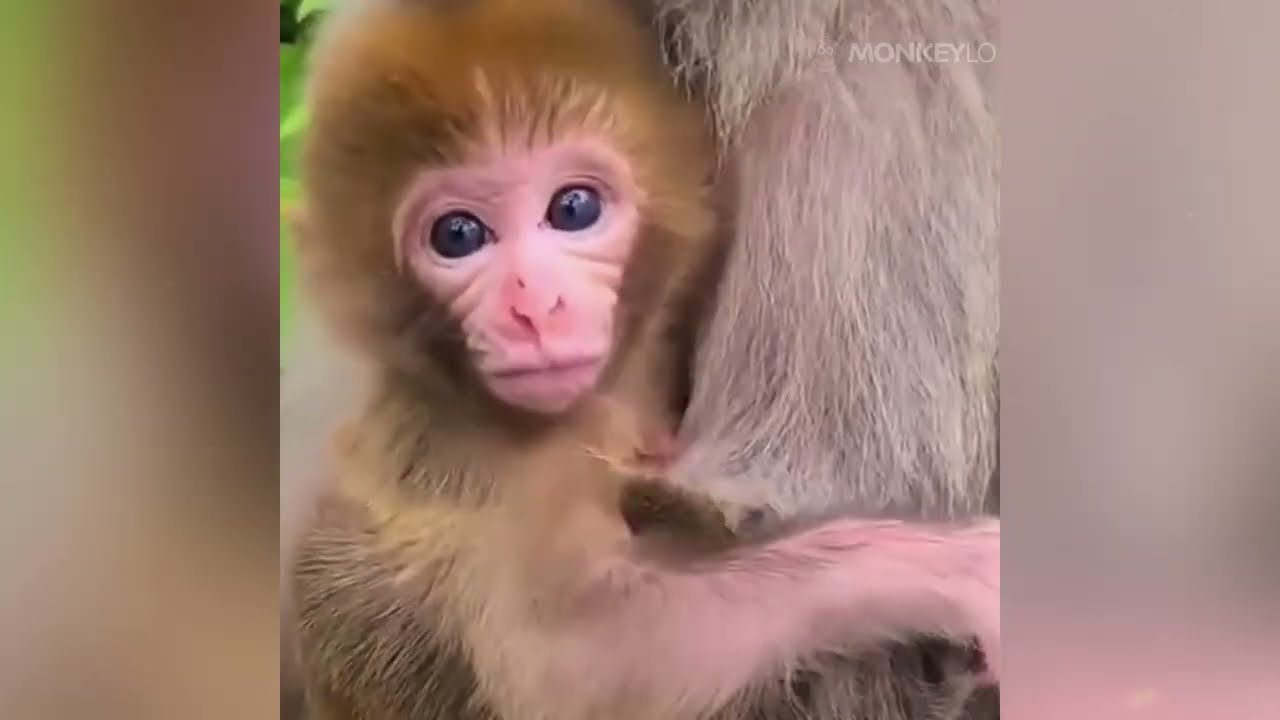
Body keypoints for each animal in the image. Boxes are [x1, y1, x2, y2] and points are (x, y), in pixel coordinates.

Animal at [283, 1, 999, 718]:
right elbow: (580, 663)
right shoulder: (507, 461)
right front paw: (938, 568)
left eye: (573, 208)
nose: (533, 307)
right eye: (457, 235)